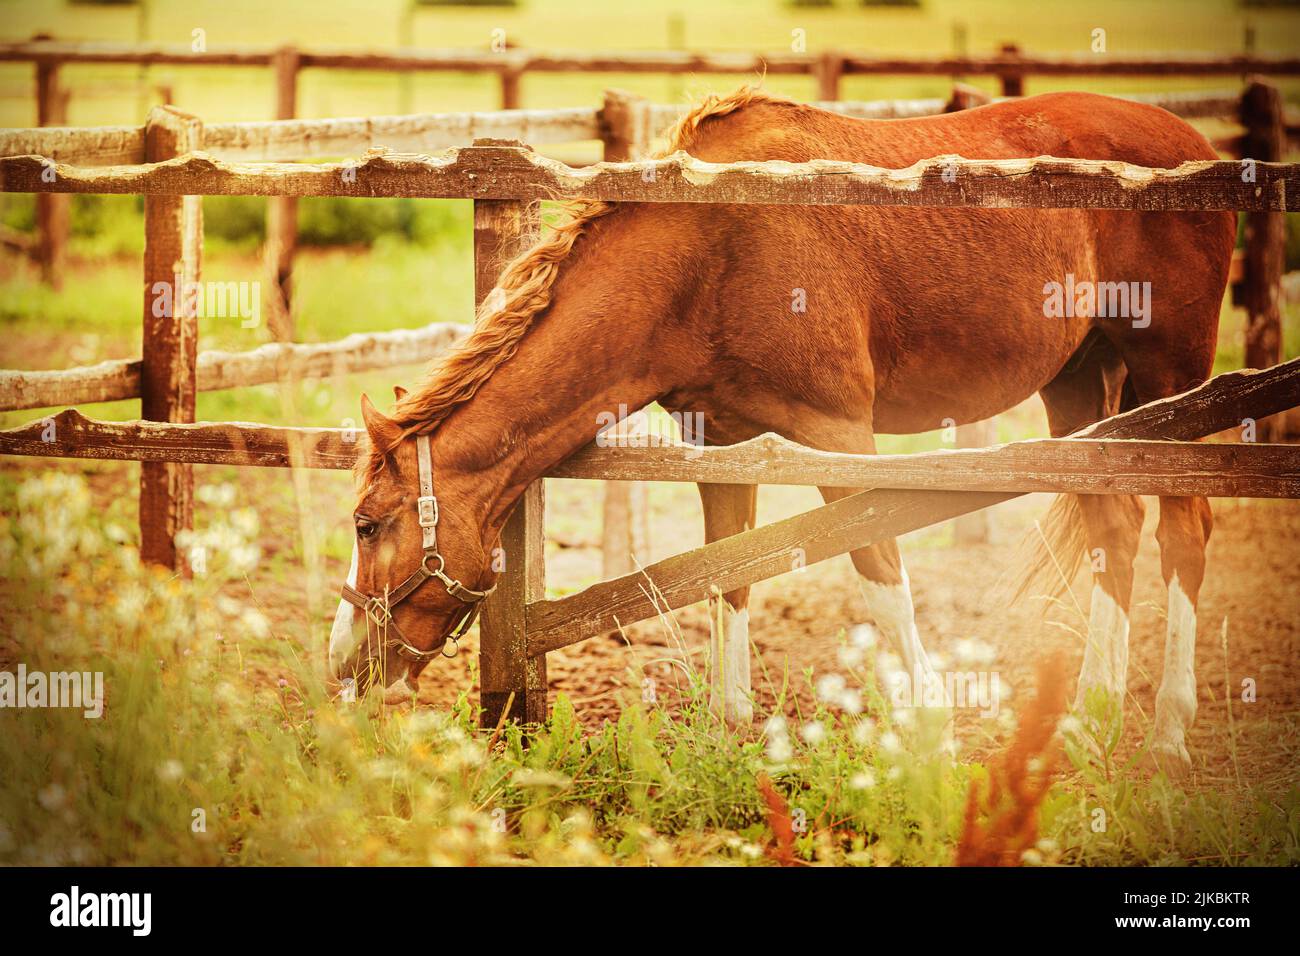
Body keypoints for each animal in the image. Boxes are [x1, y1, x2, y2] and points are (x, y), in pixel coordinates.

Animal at [328, 86, 1235, 774]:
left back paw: (1168, 733)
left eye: (368, 525)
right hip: (1079, 383)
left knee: (1186, 534)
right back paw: (1092, 716)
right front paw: (732, 727)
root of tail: (1195, 145)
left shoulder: (842, 436)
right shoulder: (721, 444)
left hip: (1174, 379)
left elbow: (879, 566)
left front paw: (930, 735)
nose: (344, 665)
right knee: (1112, 525)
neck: (709, 248)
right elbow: (726, 574)